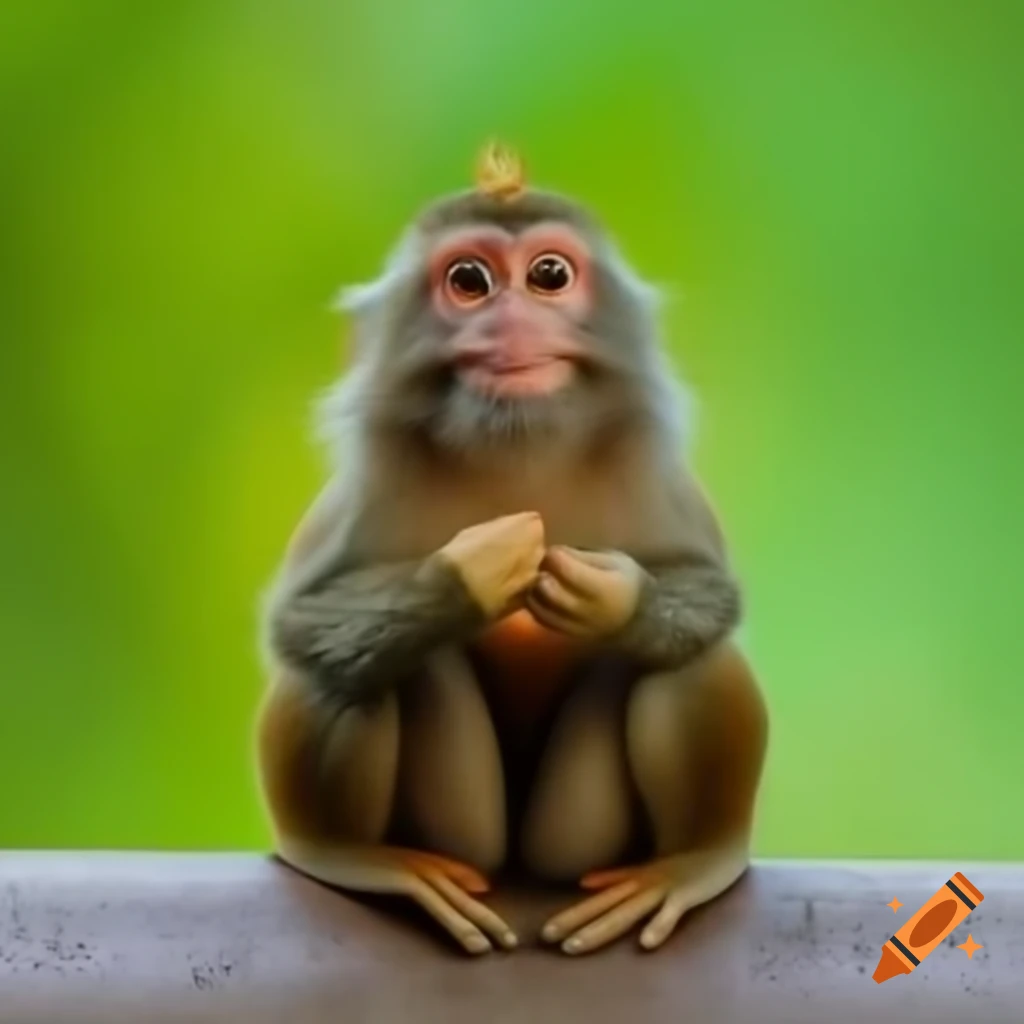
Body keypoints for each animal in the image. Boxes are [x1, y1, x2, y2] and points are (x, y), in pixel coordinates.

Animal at [256, 143, 768, 957]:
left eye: (549, 275)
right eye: (469, 281)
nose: (512, 319)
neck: (517, 442)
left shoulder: (660, 477)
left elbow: (709, 588)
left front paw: (610, 596)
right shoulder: (364, 489)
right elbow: (300, 618)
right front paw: (474, 572)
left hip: (579, 841)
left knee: (691, 661)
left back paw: (691, 864)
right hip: (468, 840)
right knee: (350, 672)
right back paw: (349, 856)